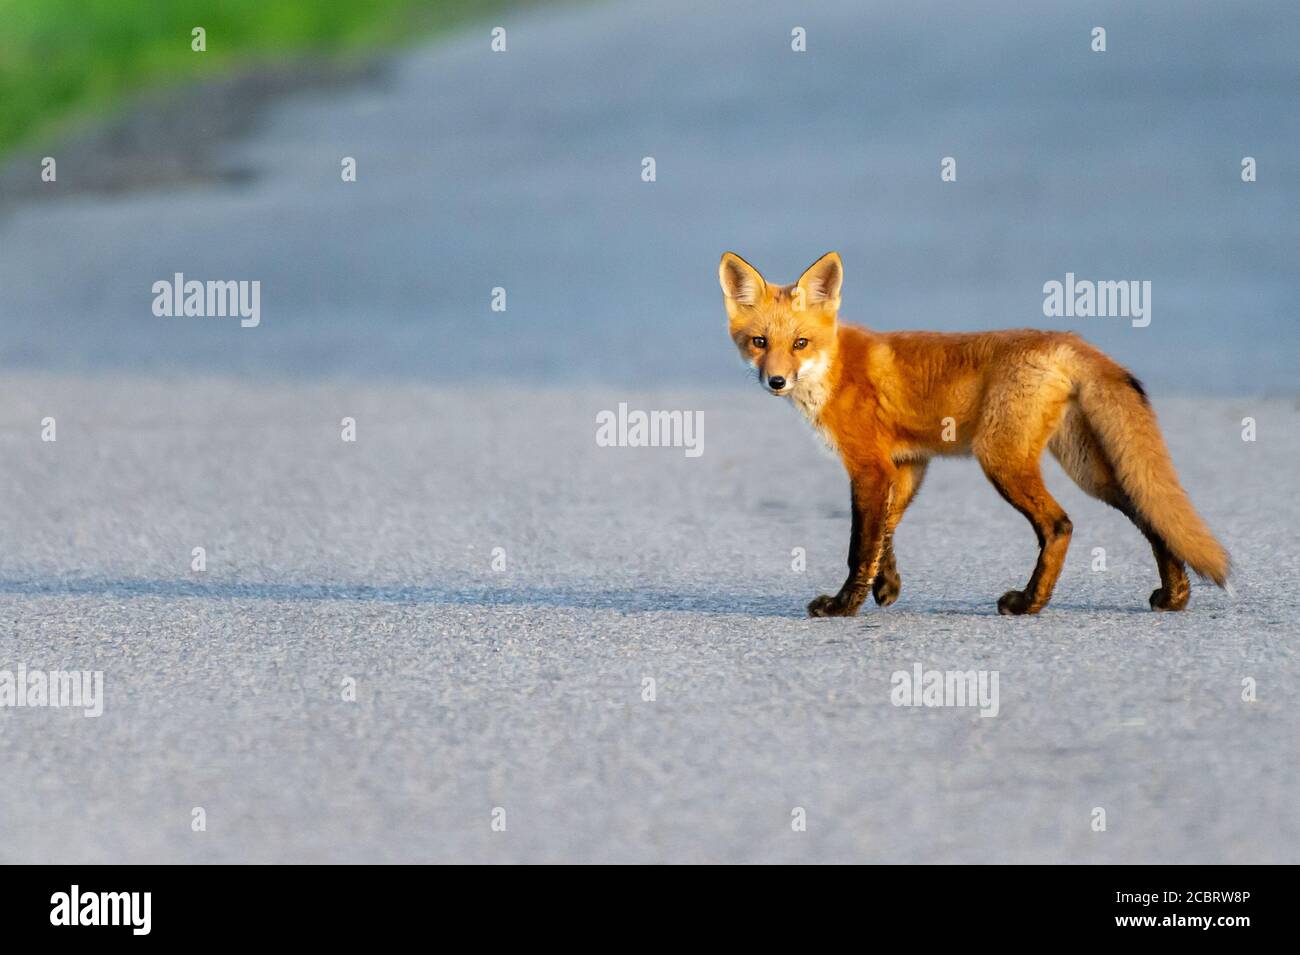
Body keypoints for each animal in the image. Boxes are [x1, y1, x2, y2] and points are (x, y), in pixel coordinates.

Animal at [718, 250, 1231, 617]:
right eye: (759, 342)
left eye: (800, 343)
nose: (776, 381)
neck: (835, 367)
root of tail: (1067, 340)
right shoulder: (907, 464)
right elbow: (887, 531)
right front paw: (887, 587)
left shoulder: (869, 466)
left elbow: (860, 545)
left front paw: (845, 606)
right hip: (1089, 468)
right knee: (1151, 514)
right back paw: (1173, 595)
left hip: (1001, 459)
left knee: (1060, 525)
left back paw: (1029, 603)